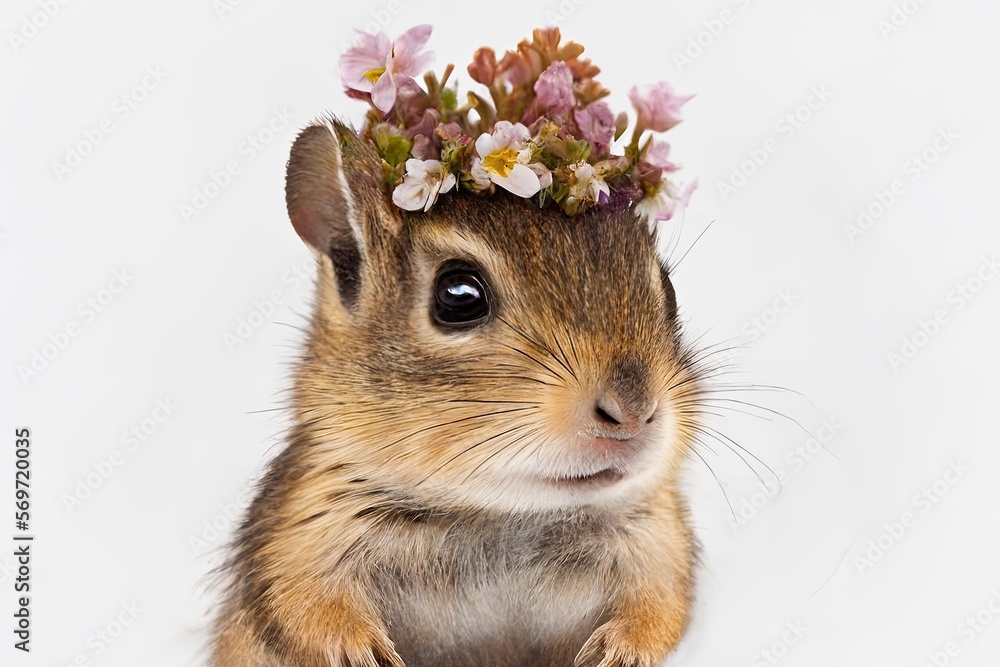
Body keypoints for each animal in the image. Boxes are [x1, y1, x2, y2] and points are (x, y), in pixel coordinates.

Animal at [210, 118, 704, 667]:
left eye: (669, 288)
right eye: (458, 296)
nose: (635, 411)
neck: (503, 513)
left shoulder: (659, 542)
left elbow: (661, 608)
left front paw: (620, 650)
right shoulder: (300, 531)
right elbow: (310, 611)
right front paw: (367, 654)